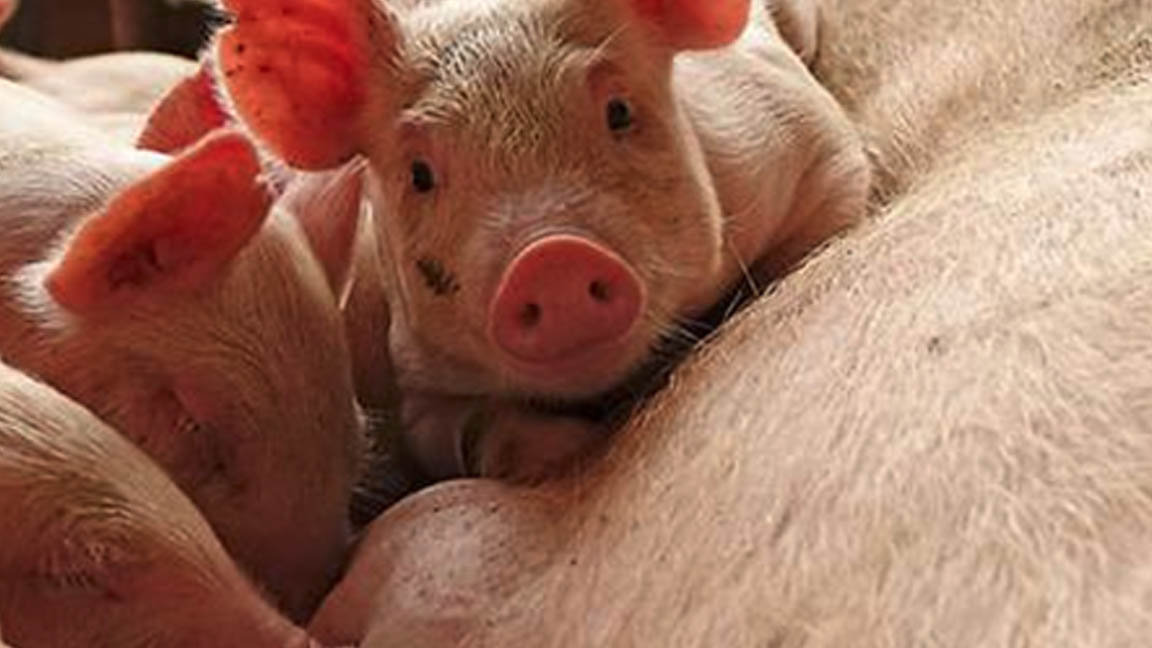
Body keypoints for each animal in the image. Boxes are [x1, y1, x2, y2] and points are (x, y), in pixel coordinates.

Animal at [306, 0, 1152, 645]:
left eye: (620, 112)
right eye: (420, 175)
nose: (550, 256)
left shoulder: (801, 147)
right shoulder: (416, 366)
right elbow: (448, 424)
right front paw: (561, 448)